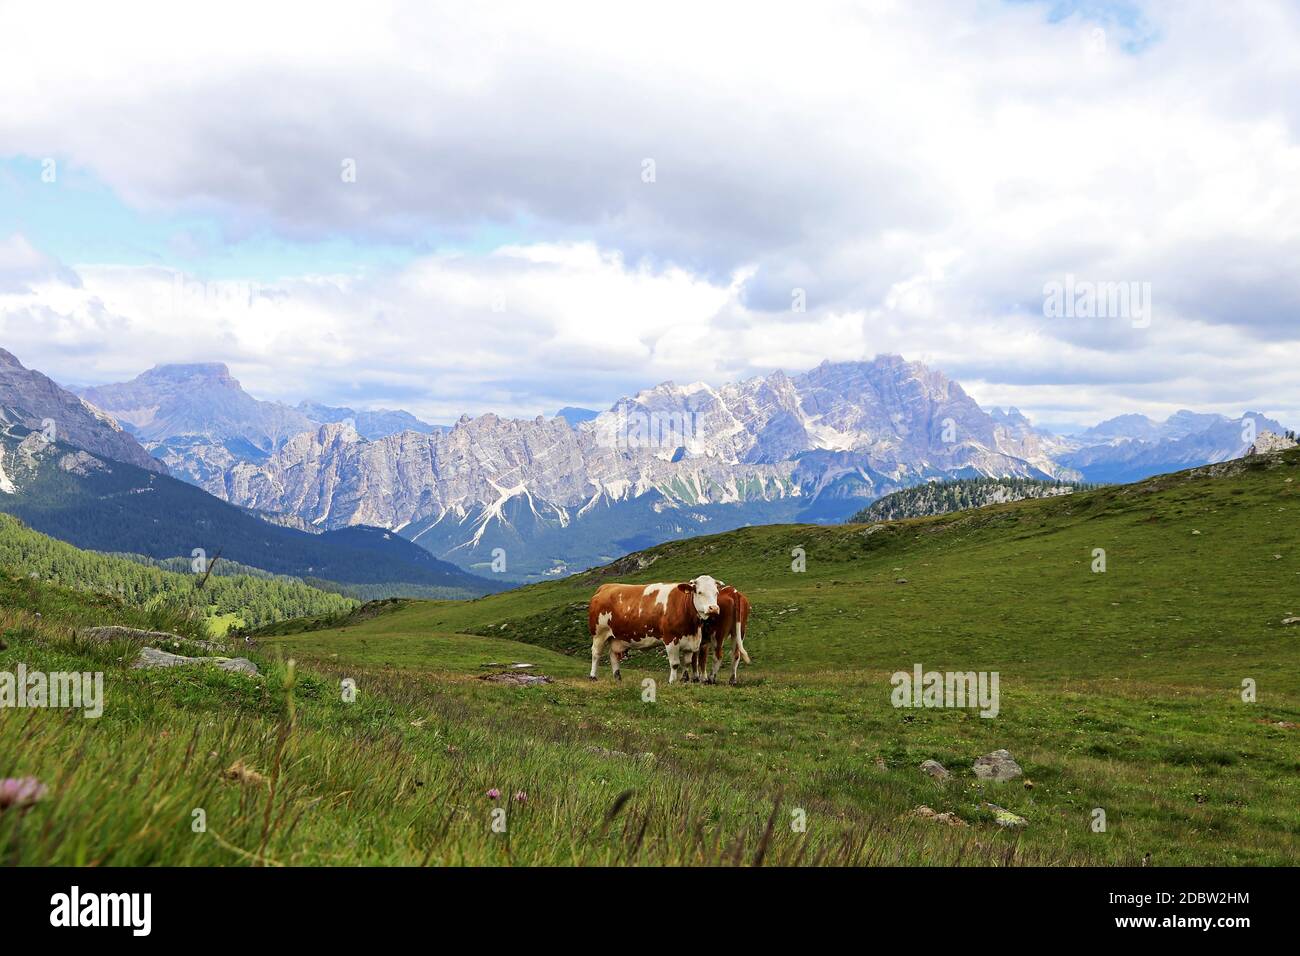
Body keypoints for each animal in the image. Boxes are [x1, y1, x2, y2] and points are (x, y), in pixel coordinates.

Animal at [587, 575, 721, 683]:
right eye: (699, 592)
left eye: (716, 593)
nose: (713, 608)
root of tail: (607, 586)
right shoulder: (670, 639)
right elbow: (675, 663)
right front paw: (672, 681)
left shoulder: (690, 642)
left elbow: (687, 663)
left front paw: (684, 680)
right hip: (599, 633)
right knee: (596, 653)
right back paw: (593, 676)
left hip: (616, 637)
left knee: (613, 655)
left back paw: (617, 678)